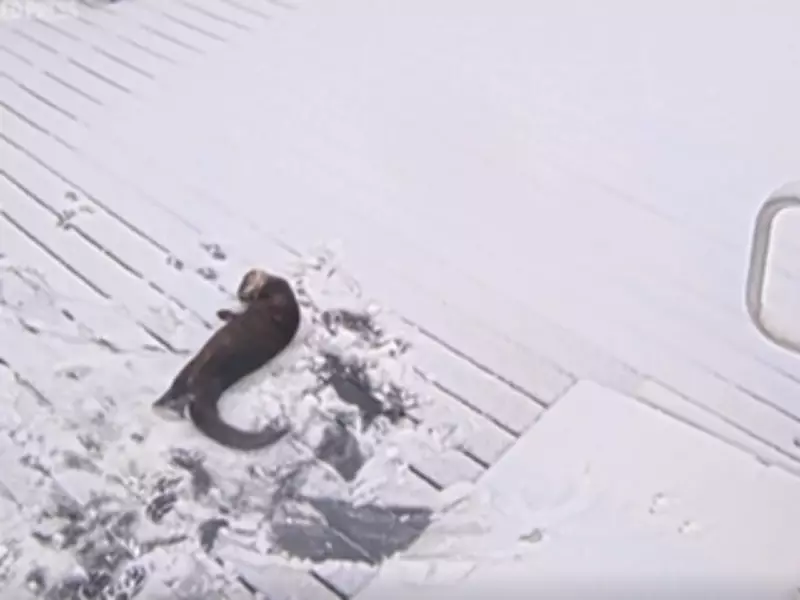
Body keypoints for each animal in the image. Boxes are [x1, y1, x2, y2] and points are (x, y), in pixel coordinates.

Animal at [152, 268, 301, 451]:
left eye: (244, 284)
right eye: (241, 289)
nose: (241, 295)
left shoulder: (277, 290)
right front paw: (224, 313)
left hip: (200, 365)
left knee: (181, 388)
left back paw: (164, 407)